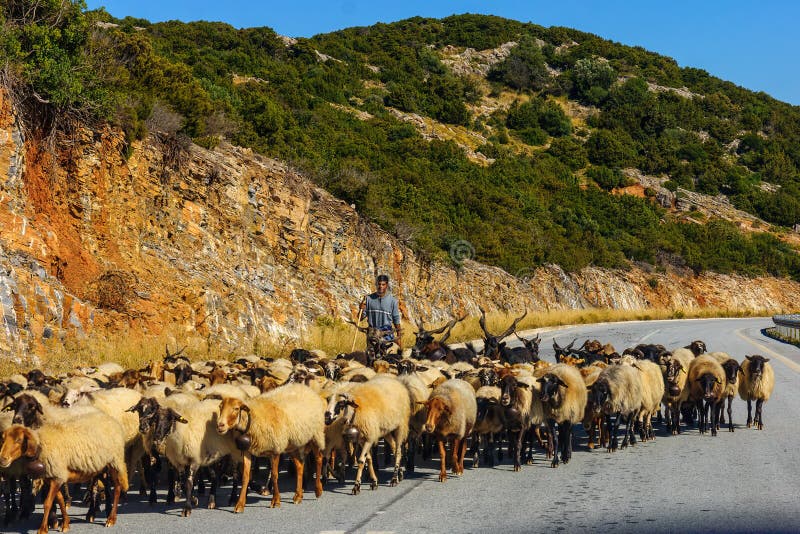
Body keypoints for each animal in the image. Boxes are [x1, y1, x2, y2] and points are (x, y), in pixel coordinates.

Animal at [0, 411, 129, 533]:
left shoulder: (57, 476)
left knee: (117, 487)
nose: (2, 459)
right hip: (99, 468)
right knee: (105, 487)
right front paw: (66, 524)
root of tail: (112, 420)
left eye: (19, 440)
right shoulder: (53, 477)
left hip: (114, 461)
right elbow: (60, 500)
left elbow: (47, 503)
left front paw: (43, 529)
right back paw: (101, 513)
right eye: (3, 439)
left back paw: (111, 519)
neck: (42, 445)